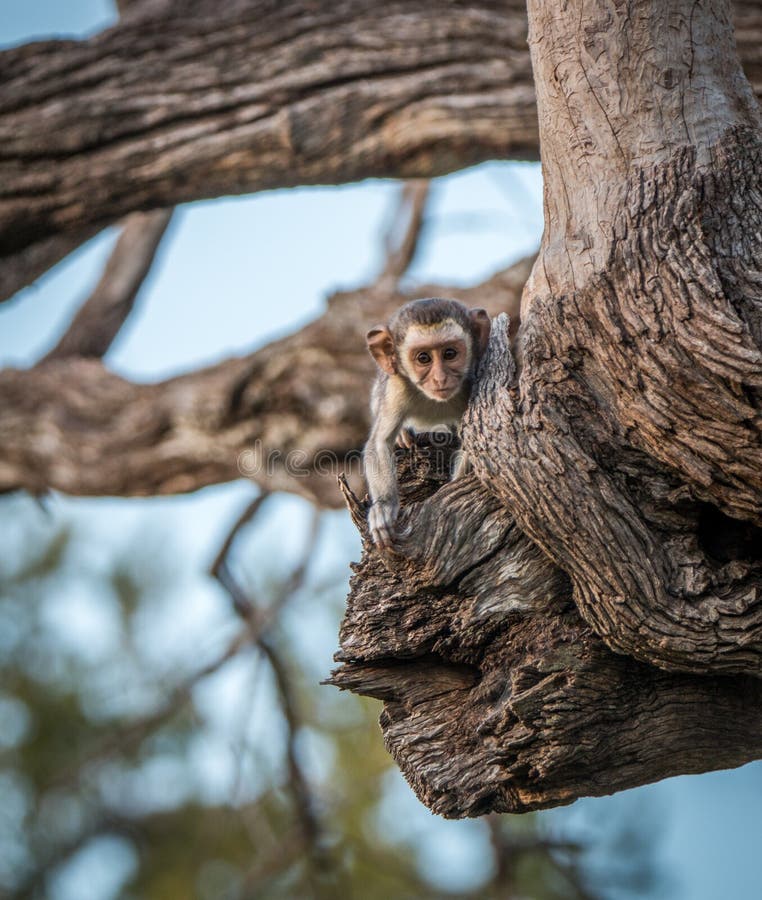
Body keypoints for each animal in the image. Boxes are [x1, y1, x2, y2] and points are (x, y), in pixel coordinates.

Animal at [363, 297, 491, 550]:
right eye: (423, 358)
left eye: (450, 353)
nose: (440, 379)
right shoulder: (396, 388)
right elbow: (379, 442)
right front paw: (383, 508)